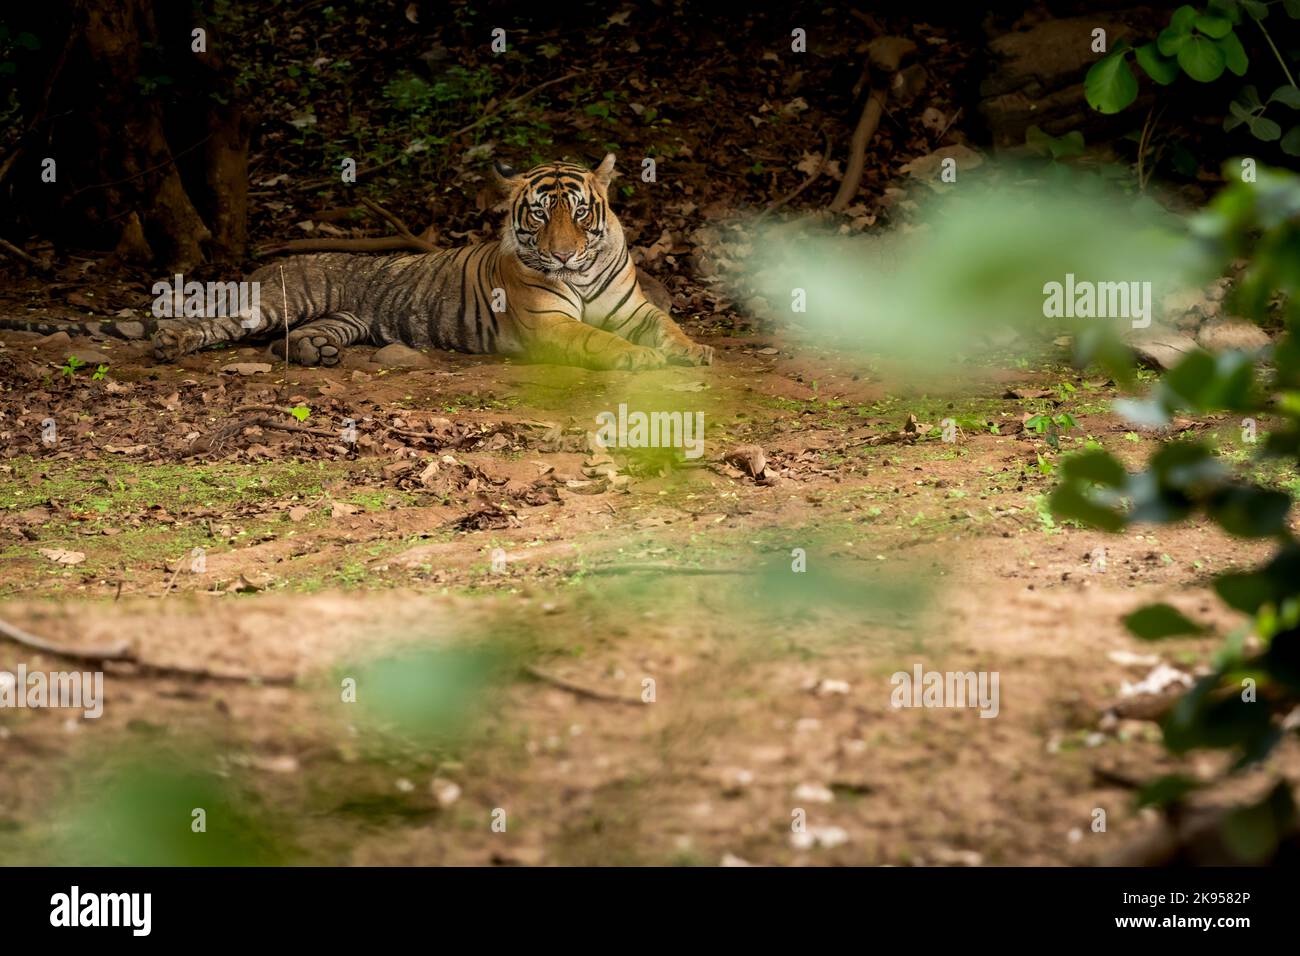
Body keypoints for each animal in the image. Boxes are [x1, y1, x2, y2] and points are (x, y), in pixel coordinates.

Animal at [0, 155, 713, 372]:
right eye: (540, 215)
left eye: (580, 214)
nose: (563, 252)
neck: (582, 274)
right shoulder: (548, 324)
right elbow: (599, 340)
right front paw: (643, 361)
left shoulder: (634, 306)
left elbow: (667, 326)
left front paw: (694, 351)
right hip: (276, 300)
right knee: (214, 325)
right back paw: (172, 345)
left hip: (344, 319)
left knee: (287, 343)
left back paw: (317, 353)